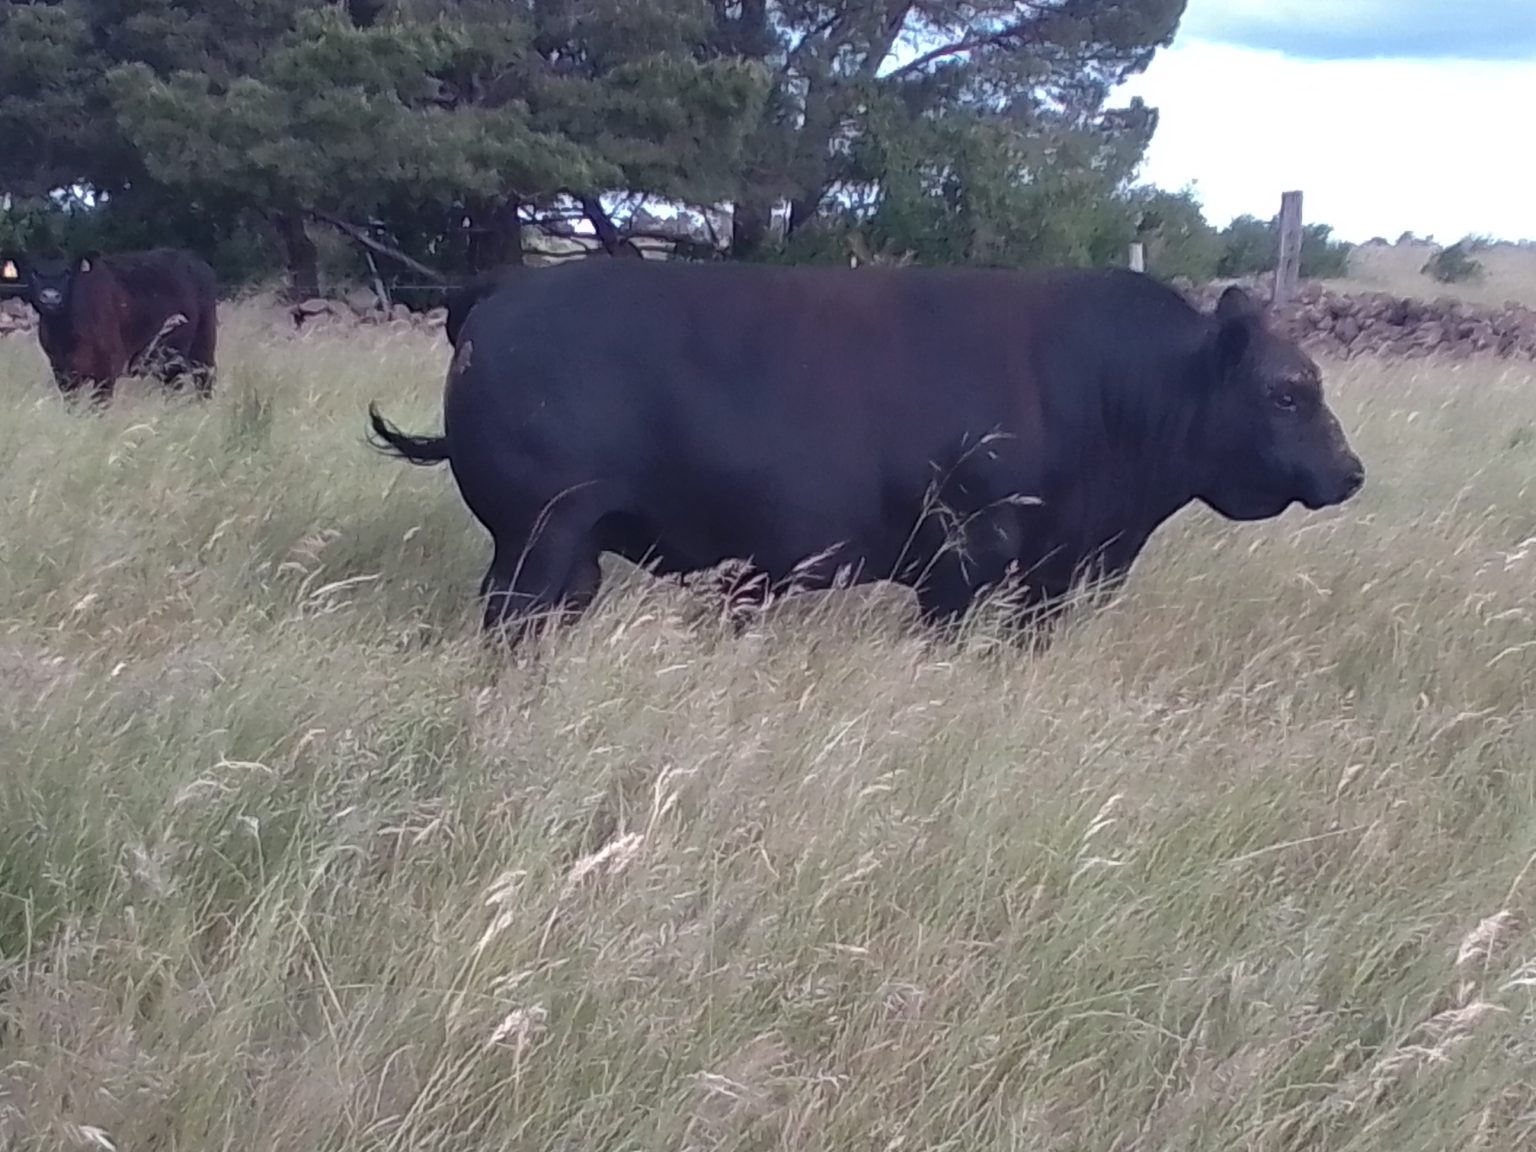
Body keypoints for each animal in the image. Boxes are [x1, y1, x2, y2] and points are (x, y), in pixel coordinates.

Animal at [0, 247, 219, 403]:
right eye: (34, 272)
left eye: (67, 272)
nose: (51, 297)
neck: (65, 333)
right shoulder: (62, 373)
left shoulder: (106, 370)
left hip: (203, 347)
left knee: (204, 379)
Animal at [366, 259, 1366, 645]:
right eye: (1287, 390)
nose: (1352, 472)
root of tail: (501, 293)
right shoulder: (964, 562)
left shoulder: (1047, 578)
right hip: (536, 541)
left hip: (569, 552)